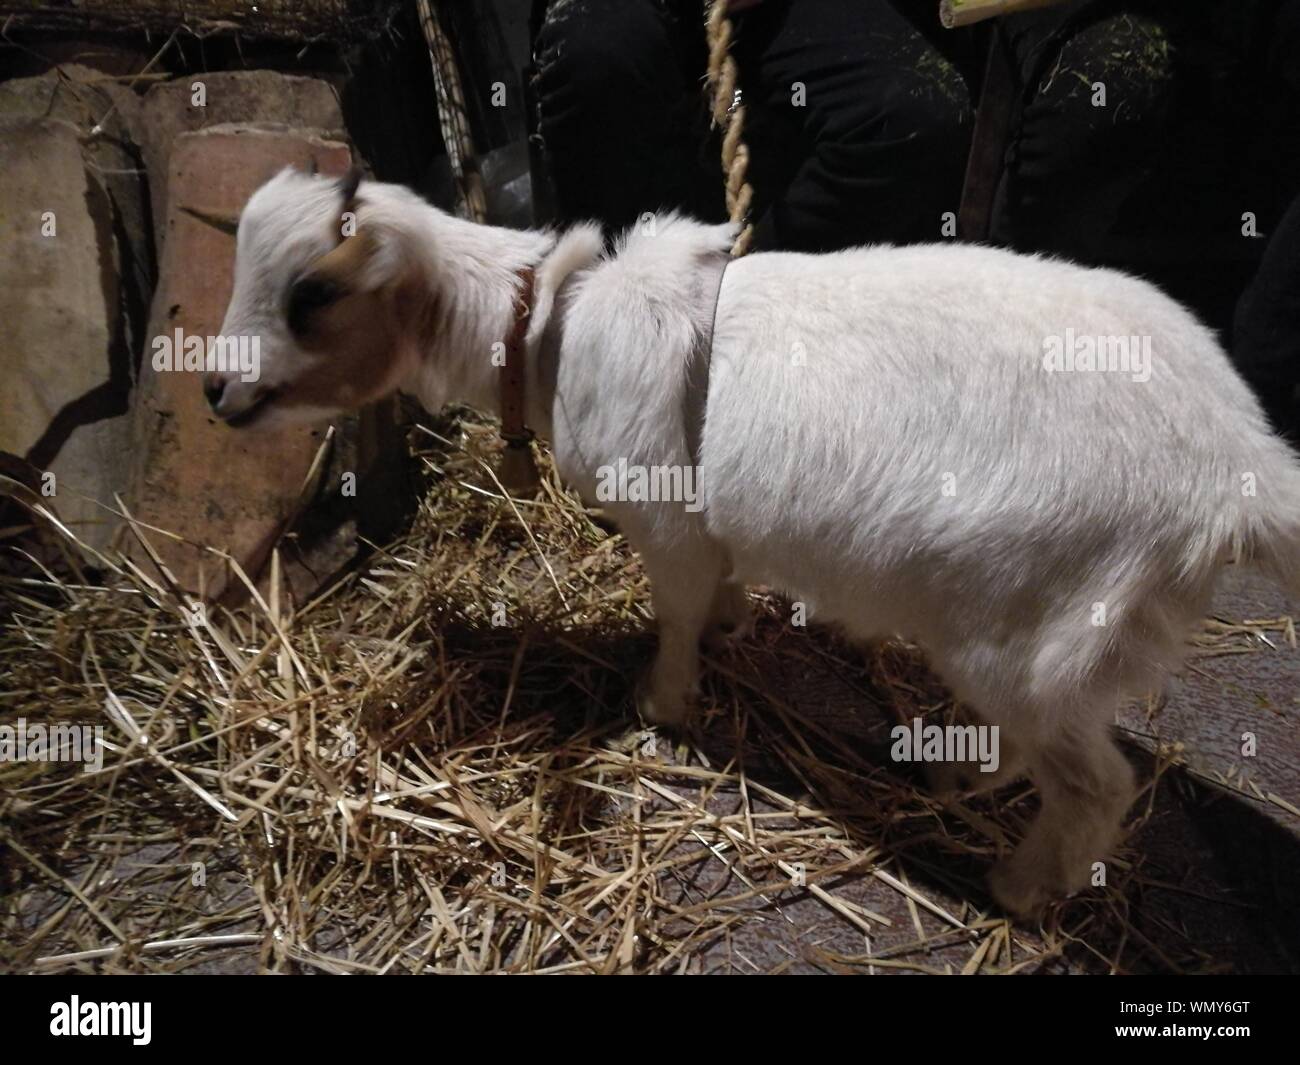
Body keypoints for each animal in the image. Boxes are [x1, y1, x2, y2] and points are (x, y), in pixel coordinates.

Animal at [208, 167, 1300, 916]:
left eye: (311, 294)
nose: (216, 392)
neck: (551, 331)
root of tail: (1237, 463)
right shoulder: (704, 523)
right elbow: (718, 589)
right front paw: (731, 630)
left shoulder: (665, 520)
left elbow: (677, 613)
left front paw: (661, 705)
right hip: (1071, 643)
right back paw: (957, 773)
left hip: (1034, 631)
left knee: (1094, 785)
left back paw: (1019, 885)